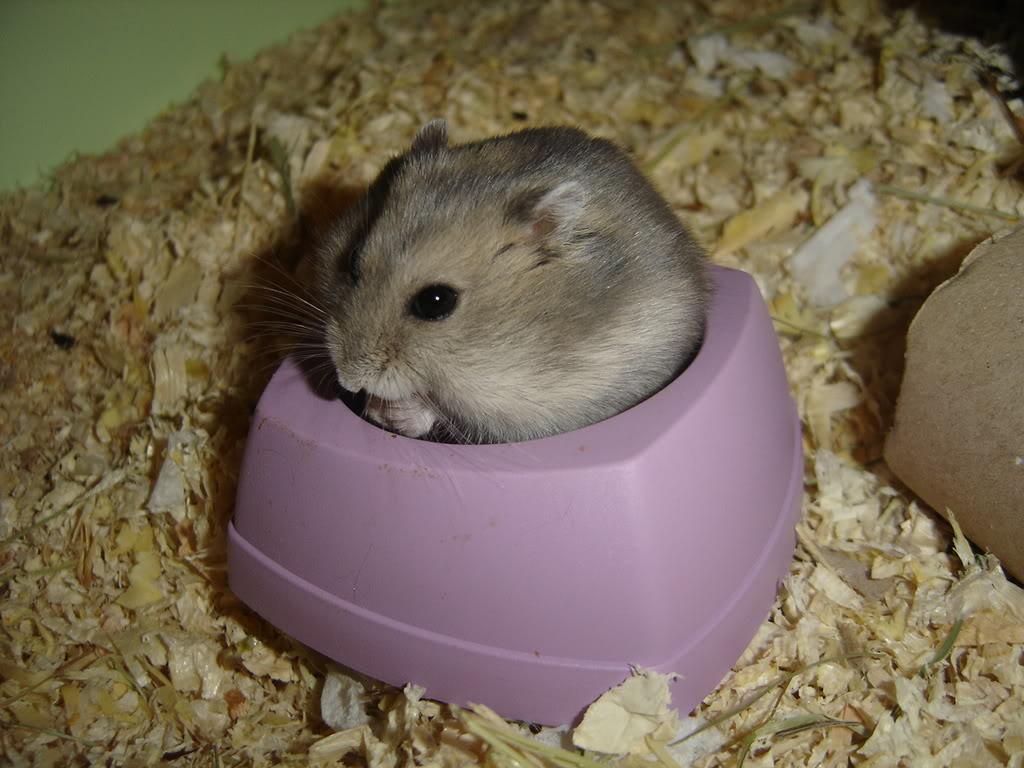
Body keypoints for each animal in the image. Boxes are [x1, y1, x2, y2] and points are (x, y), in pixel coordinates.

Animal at [309, 120, 710, 444]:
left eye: (436, 301)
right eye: (353, 259)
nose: (348, 379)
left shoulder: (527, 401)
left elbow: (440, 412)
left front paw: (391, 411)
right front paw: (375, 407)